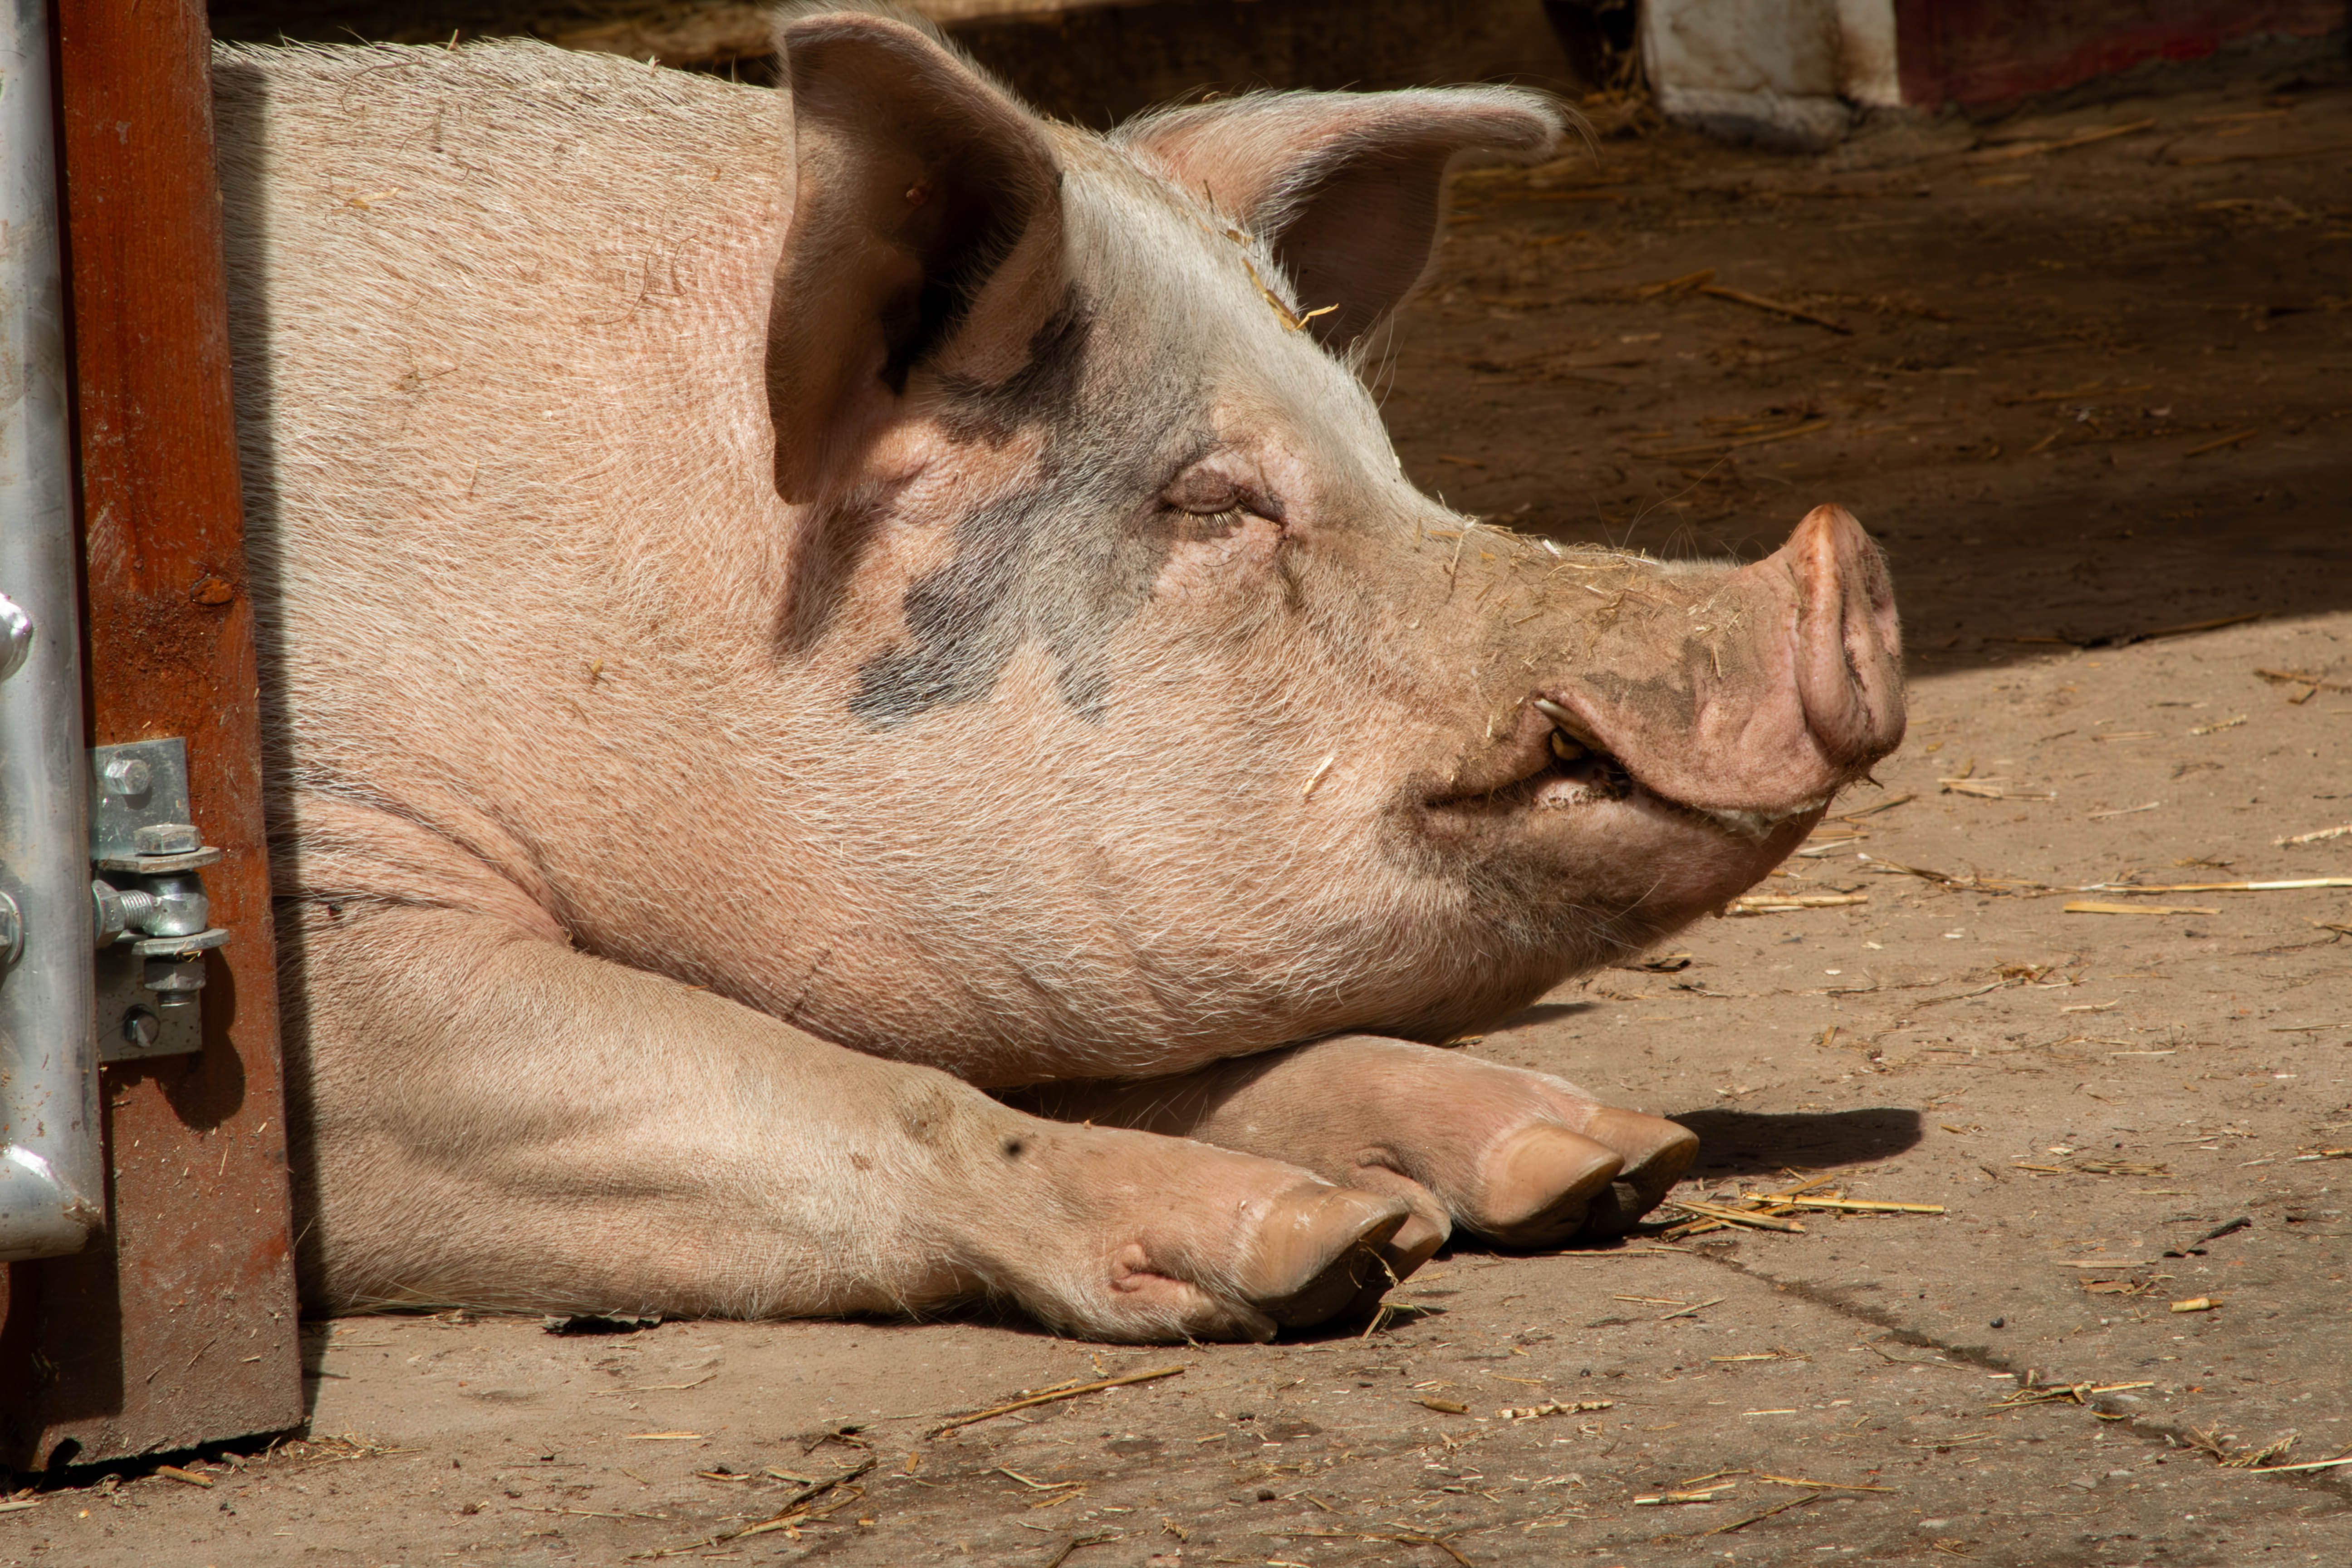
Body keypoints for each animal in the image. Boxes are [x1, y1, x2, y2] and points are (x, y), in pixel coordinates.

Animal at [212, 5, 1903, 1344]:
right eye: (1213, 498)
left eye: (1389, 456)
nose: (1847, 574)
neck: (626, 606)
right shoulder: (322, 928)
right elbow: (850, 1082)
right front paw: (1327, 1248)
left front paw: (1598, 1161)